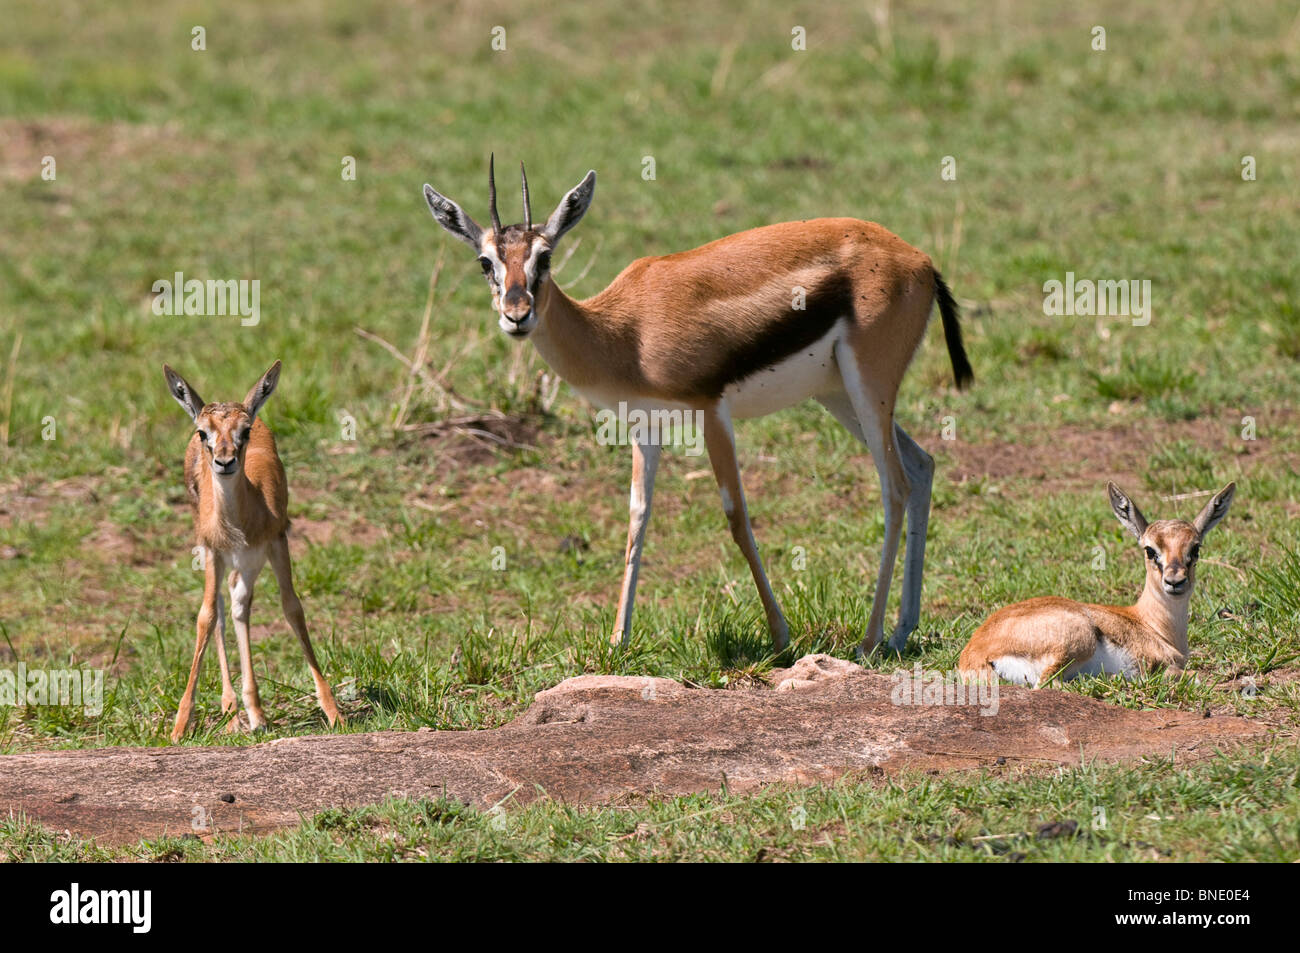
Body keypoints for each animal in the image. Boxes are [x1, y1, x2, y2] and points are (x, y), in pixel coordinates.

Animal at [163, 361, 343, 741]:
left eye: (244, 431)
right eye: (203, 432)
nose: (225, 461)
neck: (242, 522)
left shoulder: (276, 543)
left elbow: (292, 608)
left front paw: (334, 712)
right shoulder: (213, 552)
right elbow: (205, 617)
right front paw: (180, 726)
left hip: (250, 562)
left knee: (238, 602)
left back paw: (254, 712)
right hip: (216, 559)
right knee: (220, 607)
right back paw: (232, 712)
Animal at [422, 158, 973, 654]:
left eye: (545, 257)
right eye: (486, 262)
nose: (517, 315)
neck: (625, 331)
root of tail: (919, 260)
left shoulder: (710, 412)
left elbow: (736, 516)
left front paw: (780, 636)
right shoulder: (646, 426)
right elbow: (637, 517)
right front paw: (618, 642)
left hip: (866, 386)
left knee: (895, 485)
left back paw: (871, 639)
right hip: (838, 395)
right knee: (922, 464)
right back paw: (902, 630)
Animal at [958, 481, 1236, 687]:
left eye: (1195, 548)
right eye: (1150, 550)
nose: (1175, 582)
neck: (1152, 624)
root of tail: (976, 653)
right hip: (1079, 640)